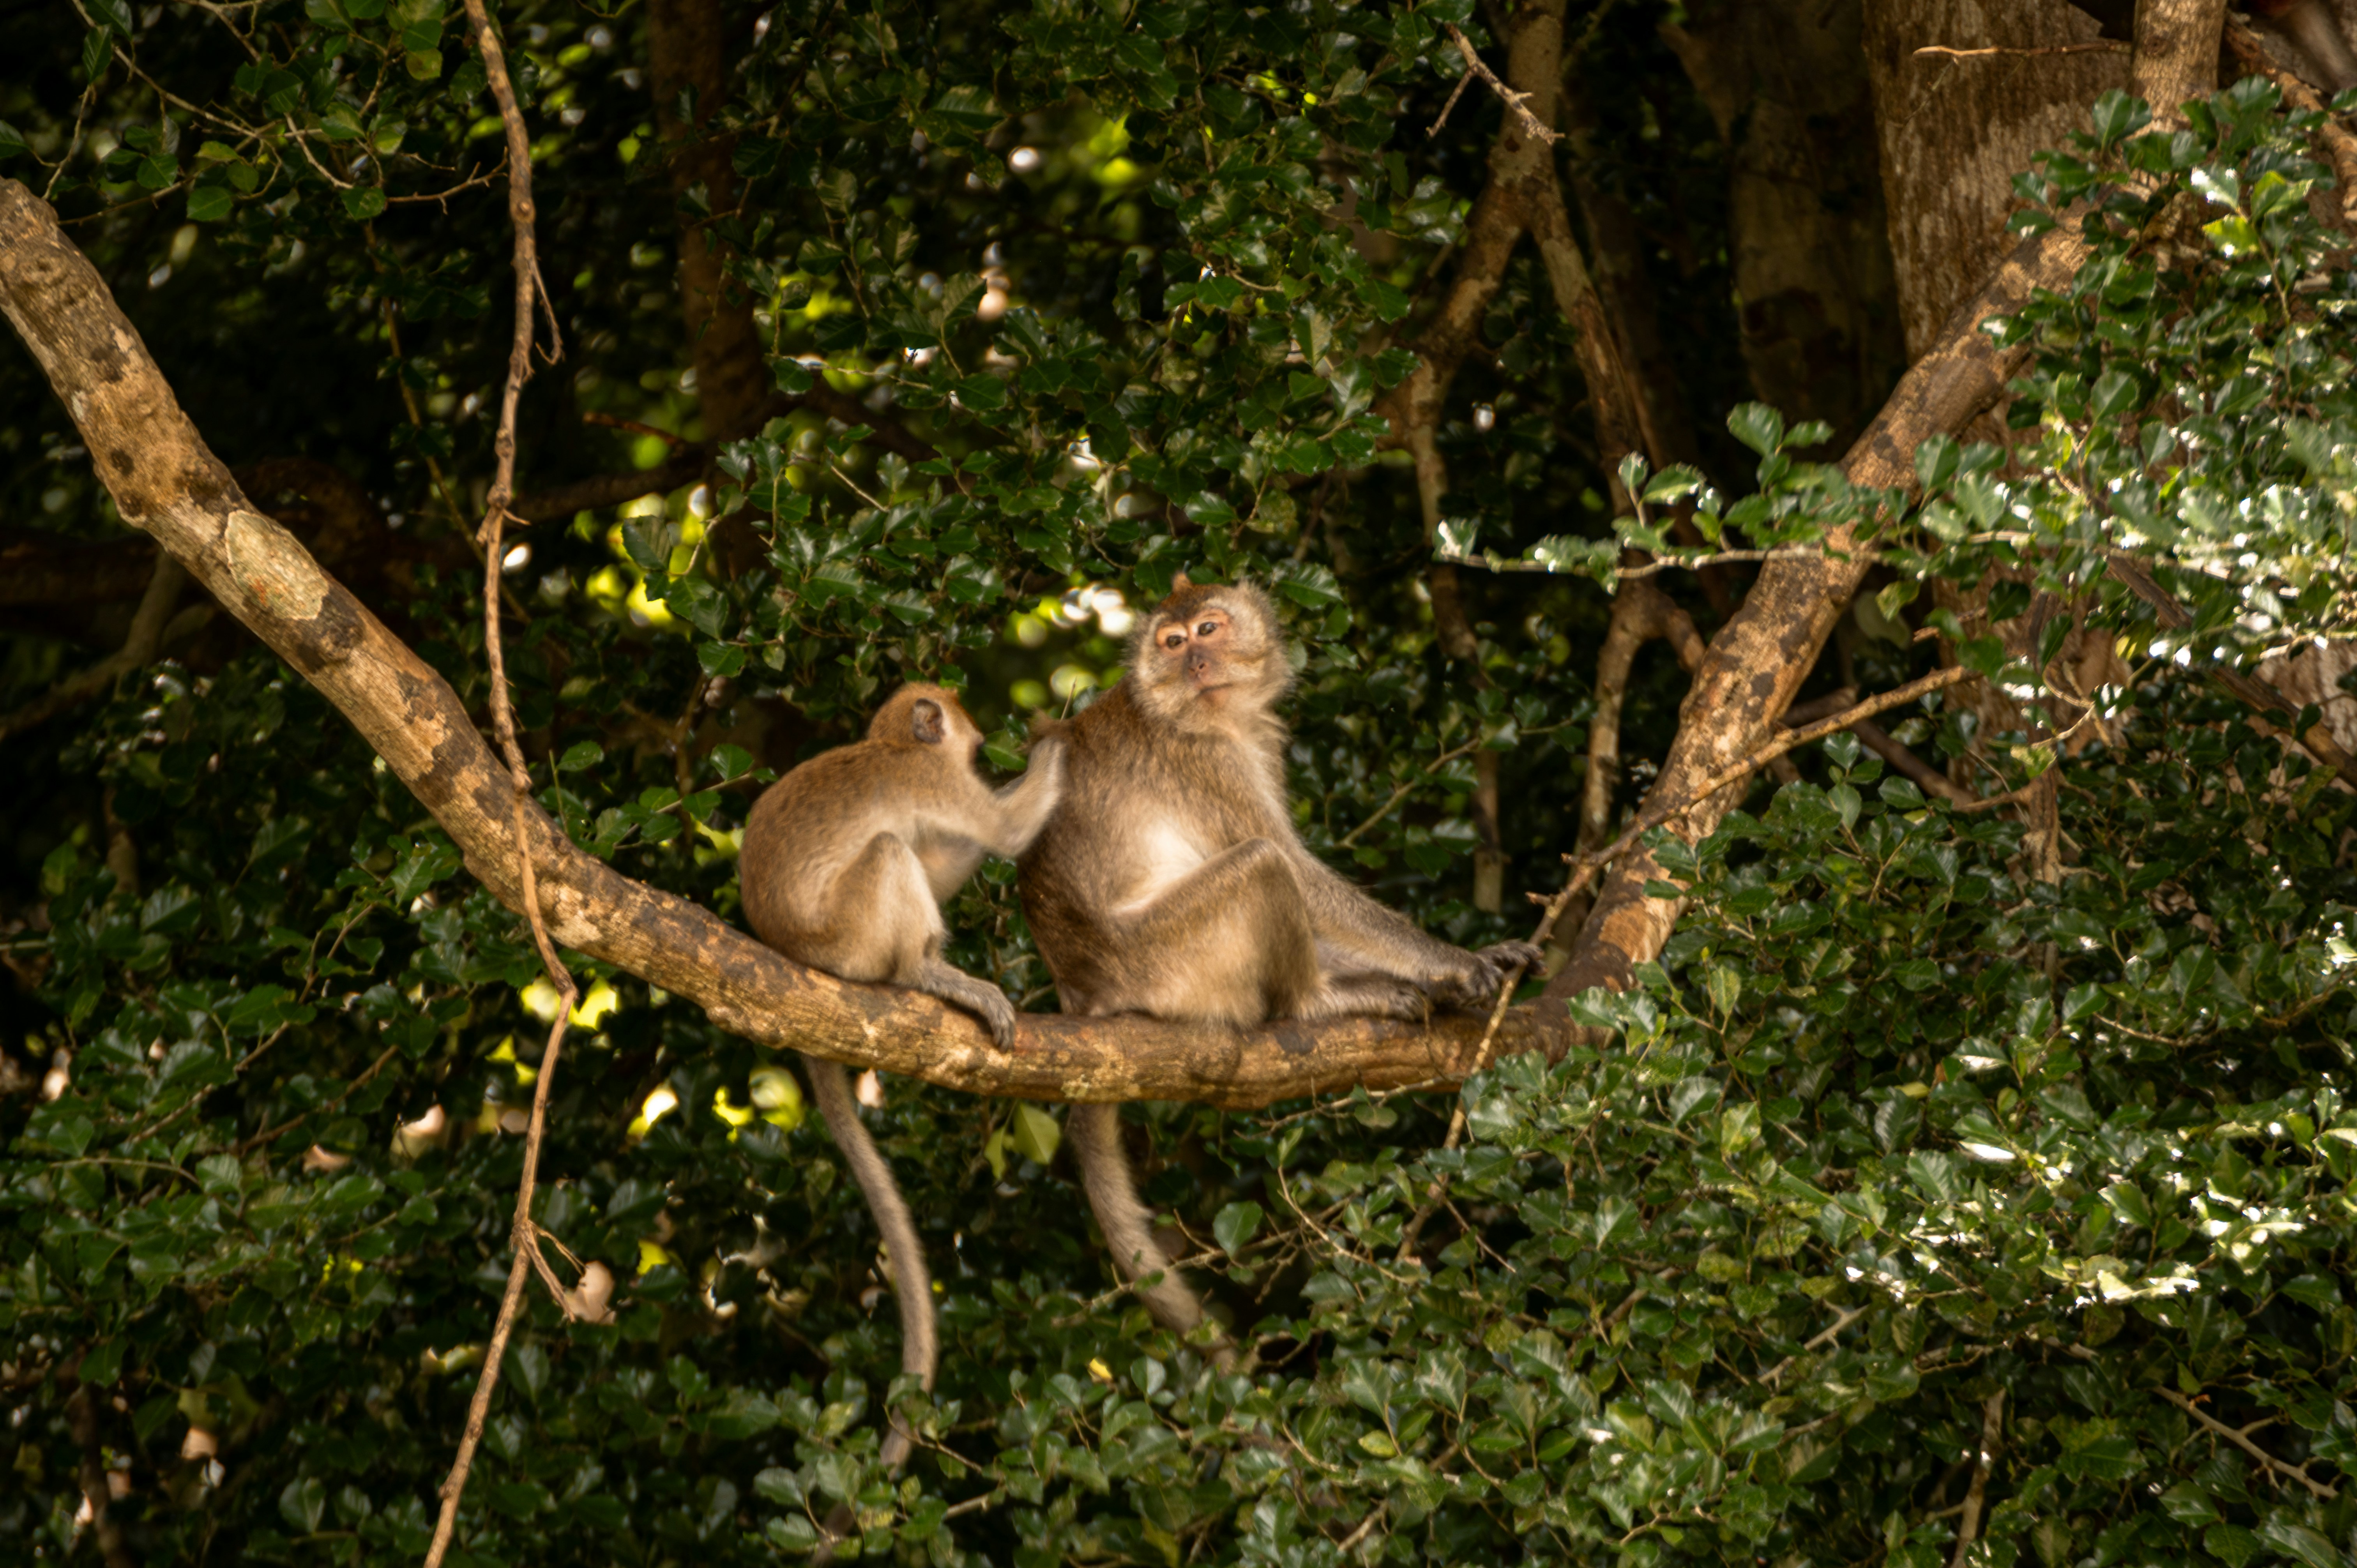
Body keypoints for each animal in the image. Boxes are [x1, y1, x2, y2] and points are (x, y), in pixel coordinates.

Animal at [739, 681, 1065, 1474]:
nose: (983, 740)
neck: (892, 745)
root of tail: (795, 958)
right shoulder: (935, 781)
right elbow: (1005, 830)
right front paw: (1062, 731)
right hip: (851, 940)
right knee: (889, 855)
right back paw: (927, 972)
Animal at [1017, 577, 1544, 1338]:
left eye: (1208, 628)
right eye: (1172, 643)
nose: (1196, 662)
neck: (1193, 714)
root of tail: (1082, 992)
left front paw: (1471, 960)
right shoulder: (1203, 763)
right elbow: (1296, 871)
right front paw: (1447, 962)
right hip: (1170, 961)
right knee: (1262, 866)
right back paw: (1318, 1000)